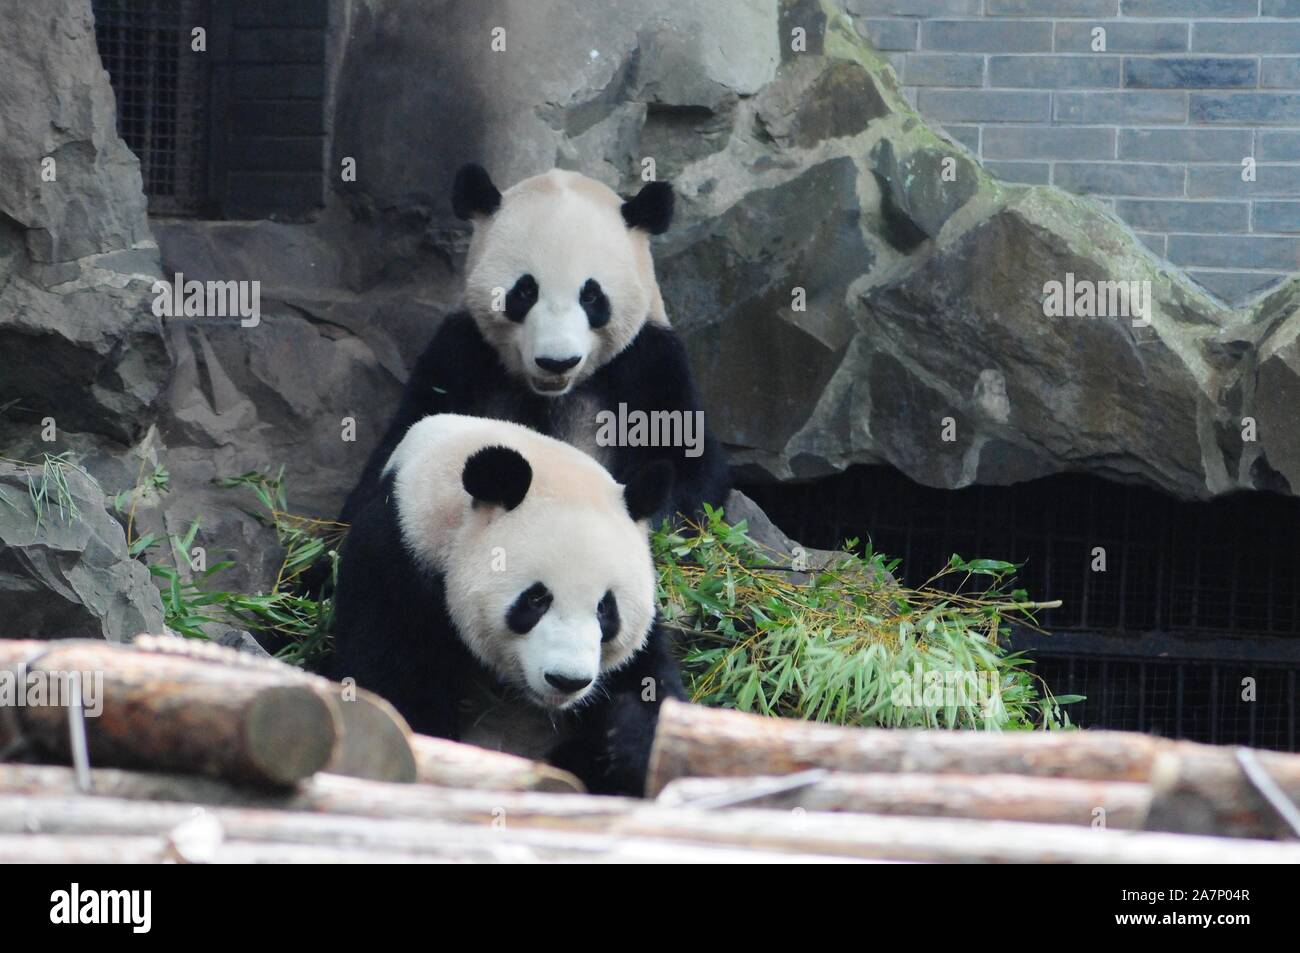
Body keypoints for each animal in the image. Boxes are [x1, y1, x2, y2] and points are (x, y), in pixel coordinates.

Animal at [331, 413, 685, 796]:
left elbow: (652, 685)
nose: (567, 680)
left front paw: (622, 738)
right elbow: (393, 689)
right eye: (536, 598)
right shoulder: (395, 562)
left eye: (605, 608)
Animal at [340, 165, 730, 527]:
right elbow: (407, 436)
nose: (557, 362)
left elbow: (686, 460)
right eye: (525, 291)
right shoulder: (461, 354)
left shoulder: (649, 362)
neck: (551, 393)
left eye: (591, 296)